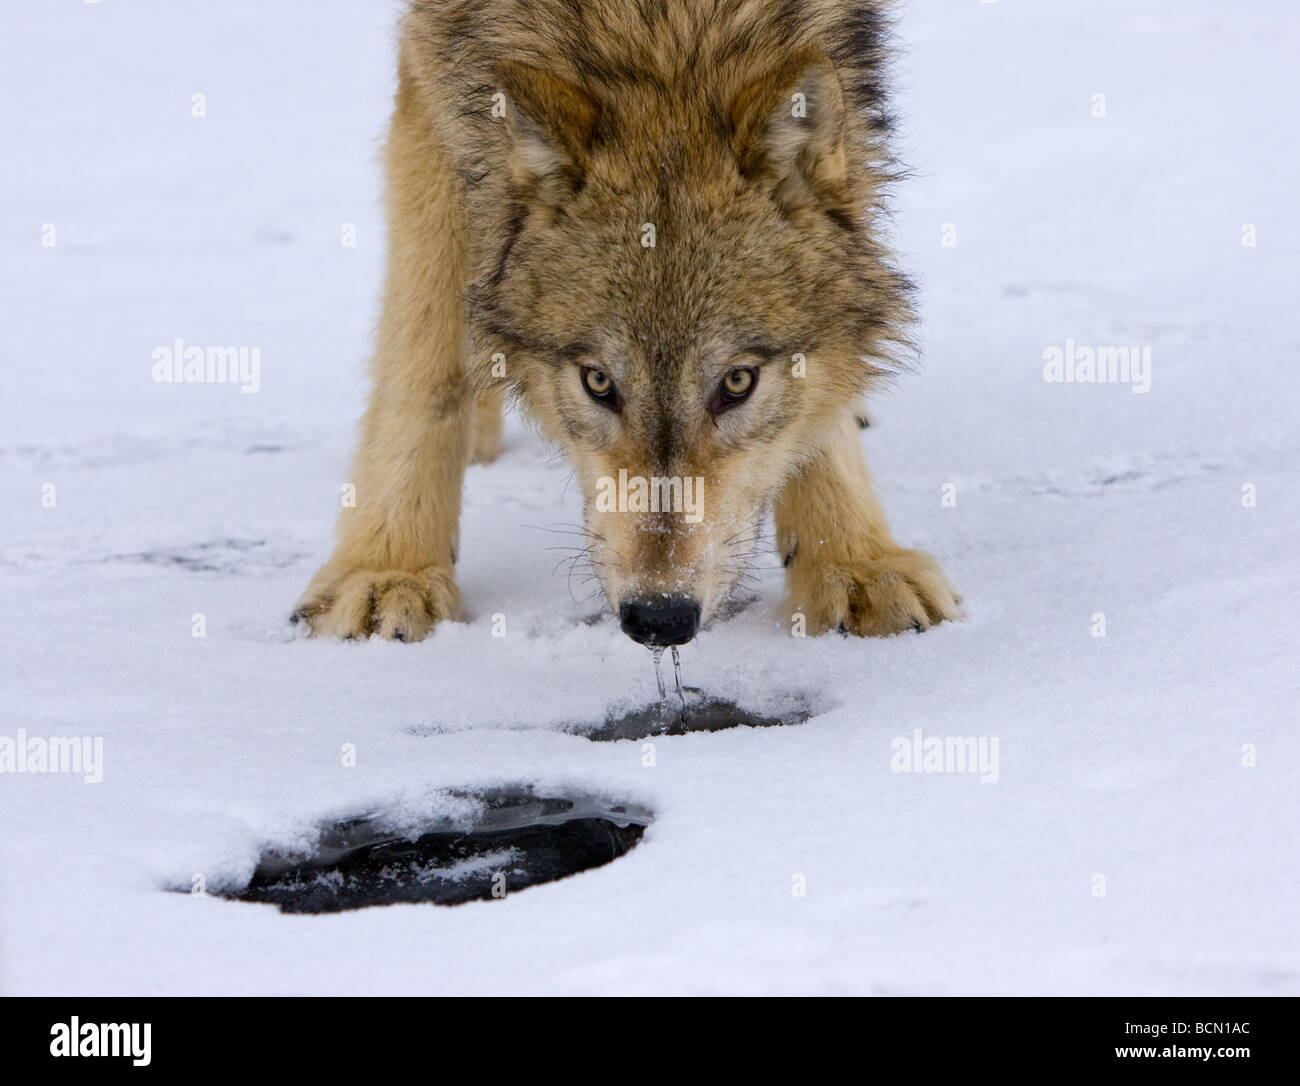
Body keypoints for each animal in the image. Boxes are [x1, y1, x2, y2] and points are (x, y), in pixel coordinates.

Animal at [294, 0, 961, 646]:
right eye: (598, 383)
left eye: (737, 383)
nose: (660, 617)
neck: (664, 39)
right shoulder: (433, 72)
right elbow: (427, 354)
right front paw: (387, 571)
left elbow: (820, 405)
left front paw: (853, 564)